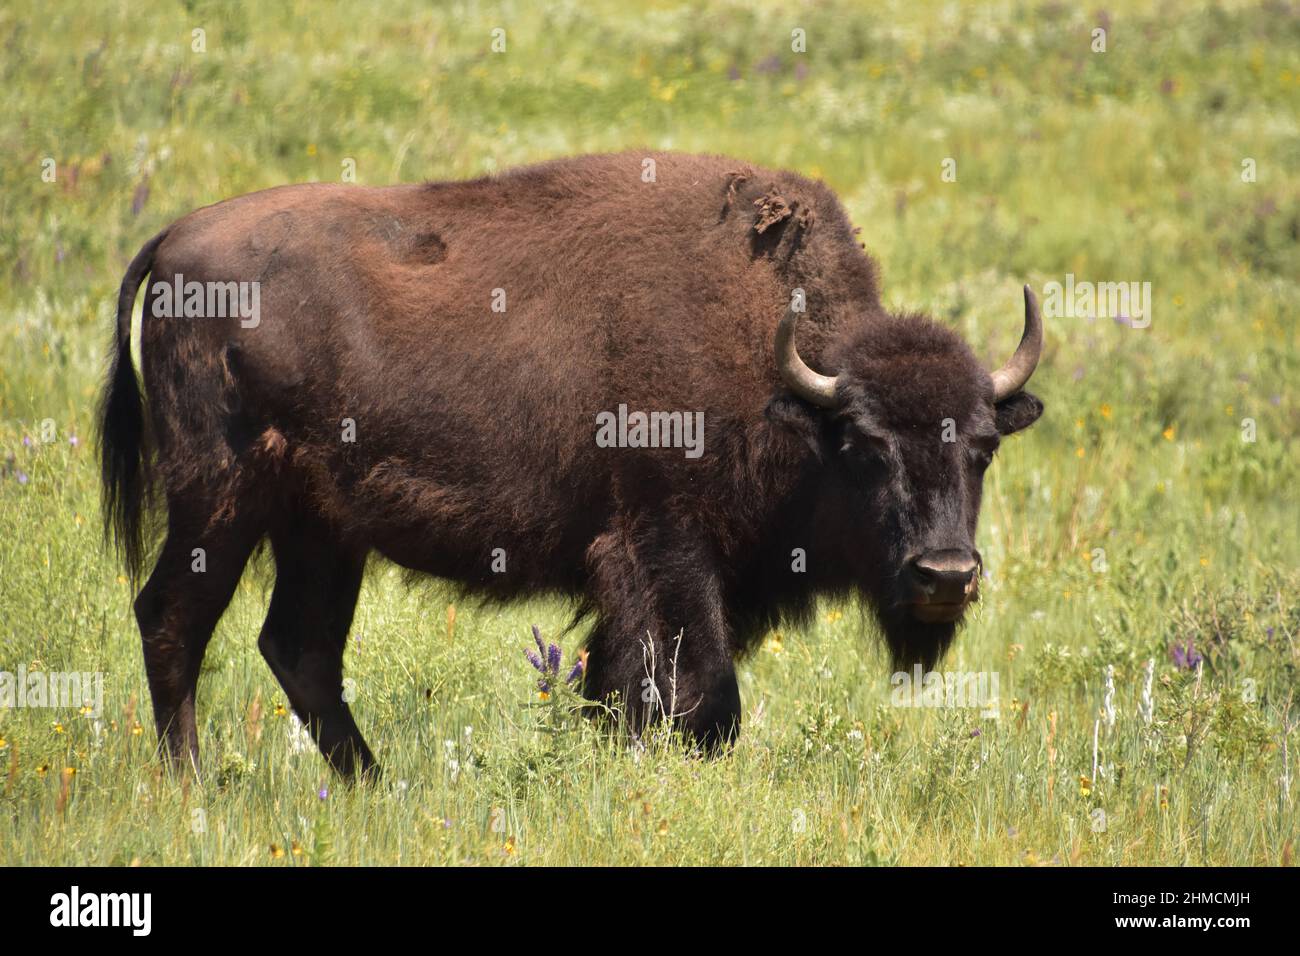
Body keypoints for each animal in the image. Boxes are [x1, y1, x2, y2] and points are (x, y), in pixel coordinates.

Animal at [99, 151, 1044, 777]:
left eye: (984, 447)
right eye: (865, 446)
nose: (945, 574)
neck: (783, 379)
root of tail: (172, 239)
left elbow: (620, 687)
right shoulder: (666, 546)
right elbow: (701, 694)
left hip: (323, 530)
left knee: (300, 650)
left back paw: (373, 785)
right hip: (219, 500)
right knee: (172, 619)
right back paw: (192, 787)